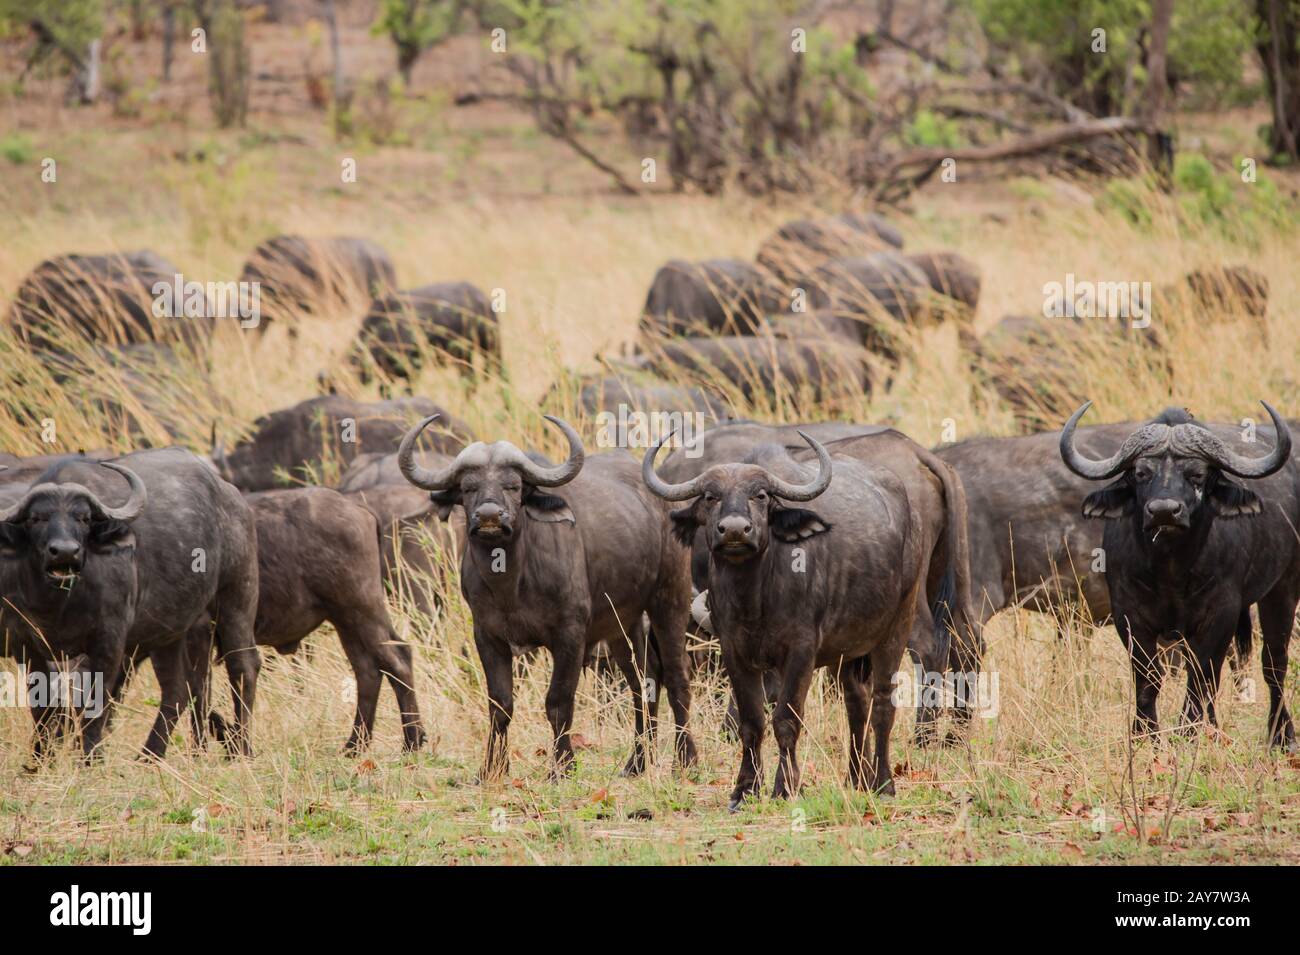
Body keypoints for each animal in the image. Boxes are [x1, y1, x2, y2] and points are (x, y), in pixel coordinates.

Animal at [397, 414, 697, 779]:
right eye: (468, 488)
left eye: (513, 486)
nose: (489, 516)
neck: (511, 583)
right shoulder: (487, 635)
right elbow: (500, 704)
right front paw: (492, 768)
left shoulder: (570, 635)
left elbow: (558, 701)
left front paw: (562, 765)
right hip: (621, 624)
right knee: (645, 679)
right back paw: (637, 762)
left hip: (670, 600)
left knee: (677, 676)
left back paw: (686, 760)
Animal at [1060, 402, 1297, 748]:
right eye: (1141, 473)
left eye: (1197, 474)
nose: (1164, 511)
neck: (1170, 569)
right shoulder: (1128, 614)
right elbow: (1148, 676)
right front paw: (1145, 734)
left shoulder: (1220, 613)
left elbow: (1203, 673)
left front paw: (1190, 730)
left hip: (1283, 589)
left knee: (1274, 663)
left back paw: (1282, 735)